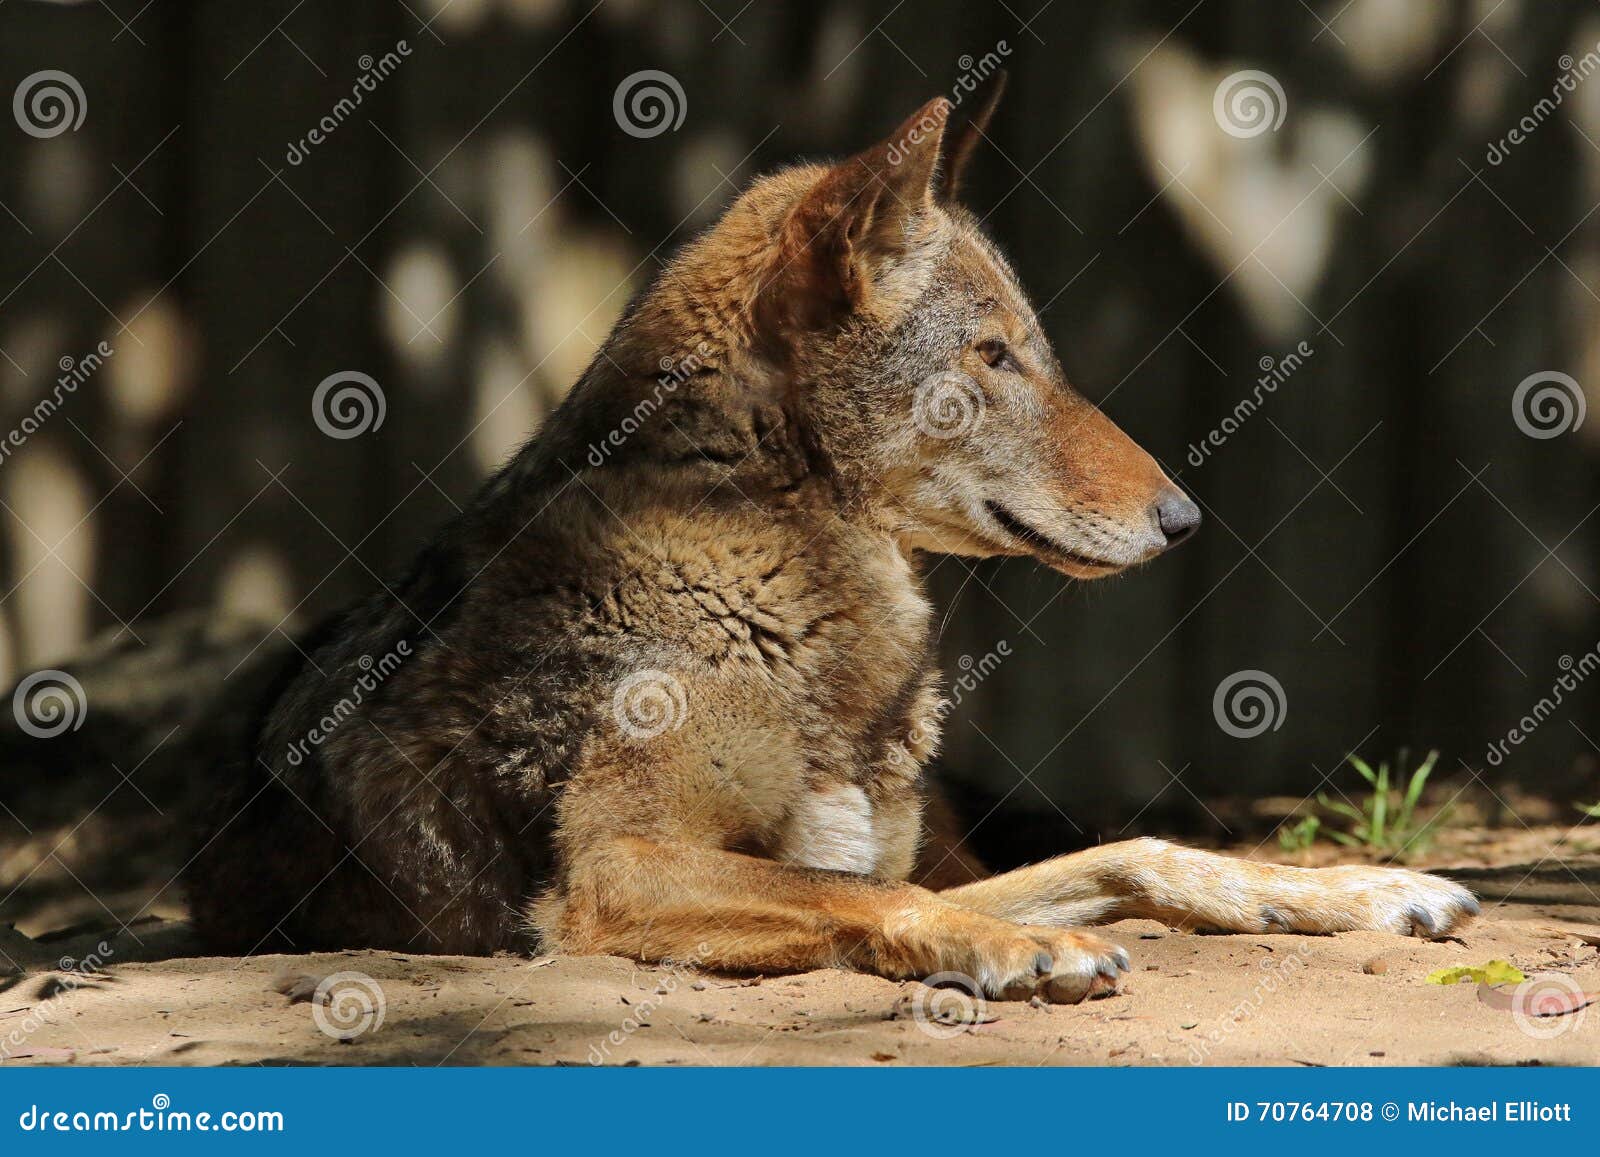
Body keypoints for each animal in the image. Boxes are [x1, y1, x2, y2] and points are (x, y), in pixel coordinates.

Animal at [187, 89, 1476, 1003]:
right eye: (991, 356)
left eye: (1035, 353)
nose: (1185, 520)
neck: (760, 584)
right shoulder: (616, 869)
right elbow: (849, 896)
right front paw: (1007, 949)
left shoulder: (903, 853)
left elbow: (1140, 850)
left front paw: (1355, 888)